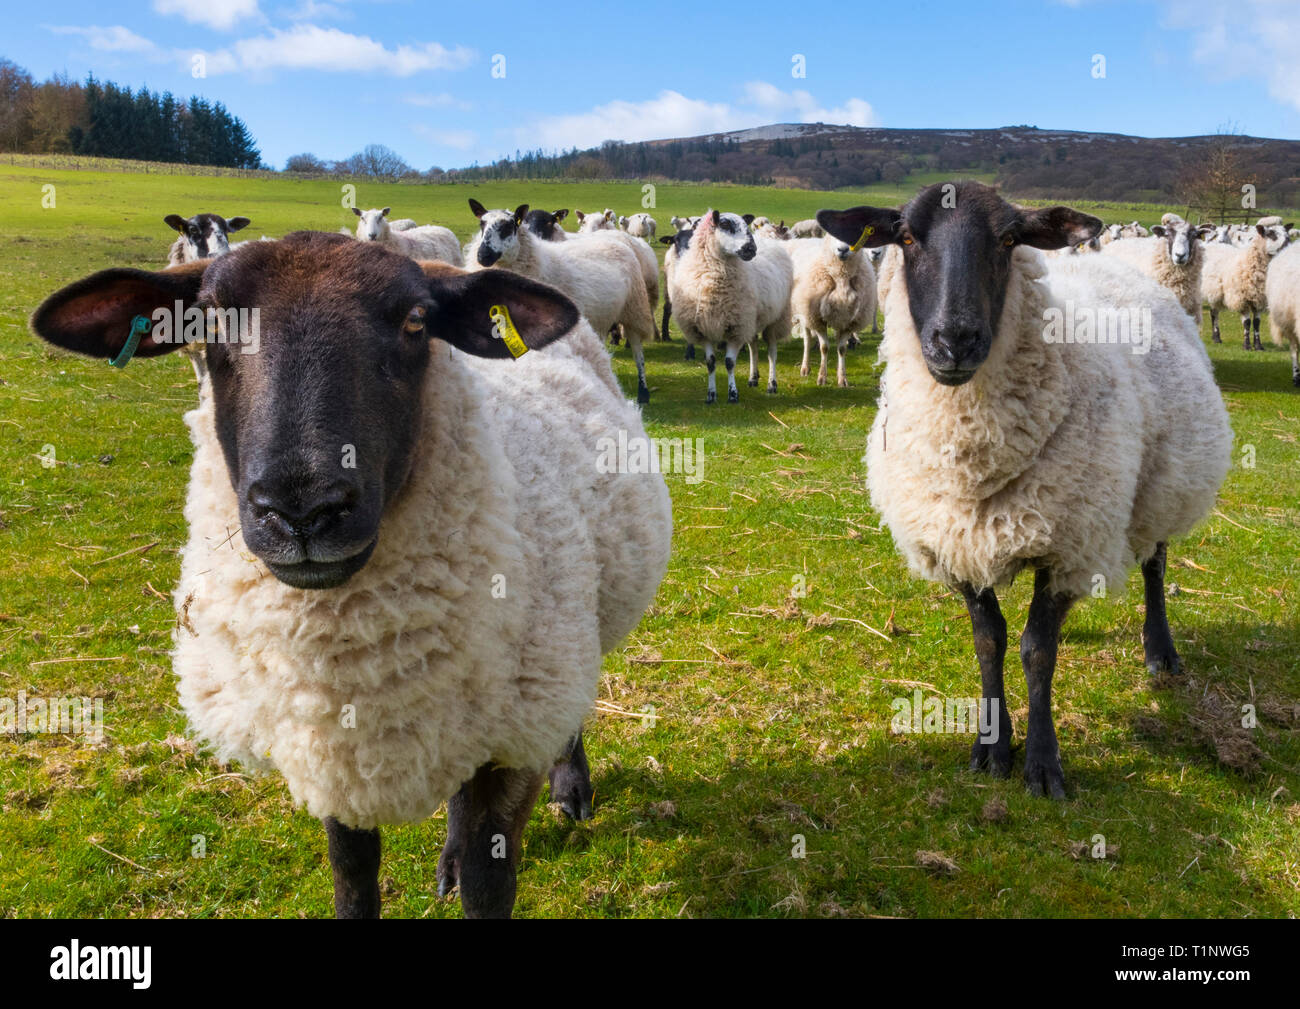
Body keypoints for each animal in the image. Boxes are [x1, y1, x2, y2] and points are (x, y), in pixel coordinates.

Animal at [30, 232, 673, 918]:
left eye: (416, 320)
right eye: (208, 321)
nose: (303, 510)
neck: (351, 659)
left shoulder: (512, 736)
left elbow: (488, 880)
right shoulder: (331, 746)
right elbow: (353, 868)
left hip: (566, 637)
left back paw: (571, 789)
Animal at [467, 200, 657, 402]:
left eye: (509, 226)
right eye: (482, 224)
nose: (483, 256)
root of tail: (613, 238)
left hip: (633, 308)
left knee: (637, 350)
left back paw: (643, 392)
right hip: (602, 317)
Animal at [666, 209, 793, 403]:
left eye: (746, 225)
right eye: (725, 225)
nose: (751, 249)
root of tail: (771, 241)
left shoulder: (735, 328)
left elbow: (729, 363)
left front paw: (733, 394)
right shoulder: (703, 329)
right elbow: (710, 363)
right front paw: (711, 395)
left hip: (776, 318)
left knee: (772, 352)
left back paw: (772, 384)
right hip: (751, 319)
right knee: (753, 346)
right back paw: (753, 378)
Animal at [787, 234, 877, 387]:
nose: (843, 250)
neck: (841, 277)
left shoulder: (849, 323)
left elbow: (842, 349)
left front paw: (842, 378)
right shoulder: (817, 319)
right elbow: (824, 347)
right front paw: (822, 377)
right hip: (804, 311)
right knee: (807, 339)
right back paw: (805, 367)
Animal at [817, 182, 1231, 799]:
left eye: (1010, 240)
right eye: (906, 237)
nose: (955, 341)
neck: (974, 459)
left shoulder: (1068, 546)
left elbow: (1037, 652)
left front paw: (1042, 762)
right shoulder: (955, 539)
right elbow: (990, 640)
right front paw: (992, 747)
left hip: (1162, 484)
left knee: (1156, 563)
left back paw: (1160, 651)